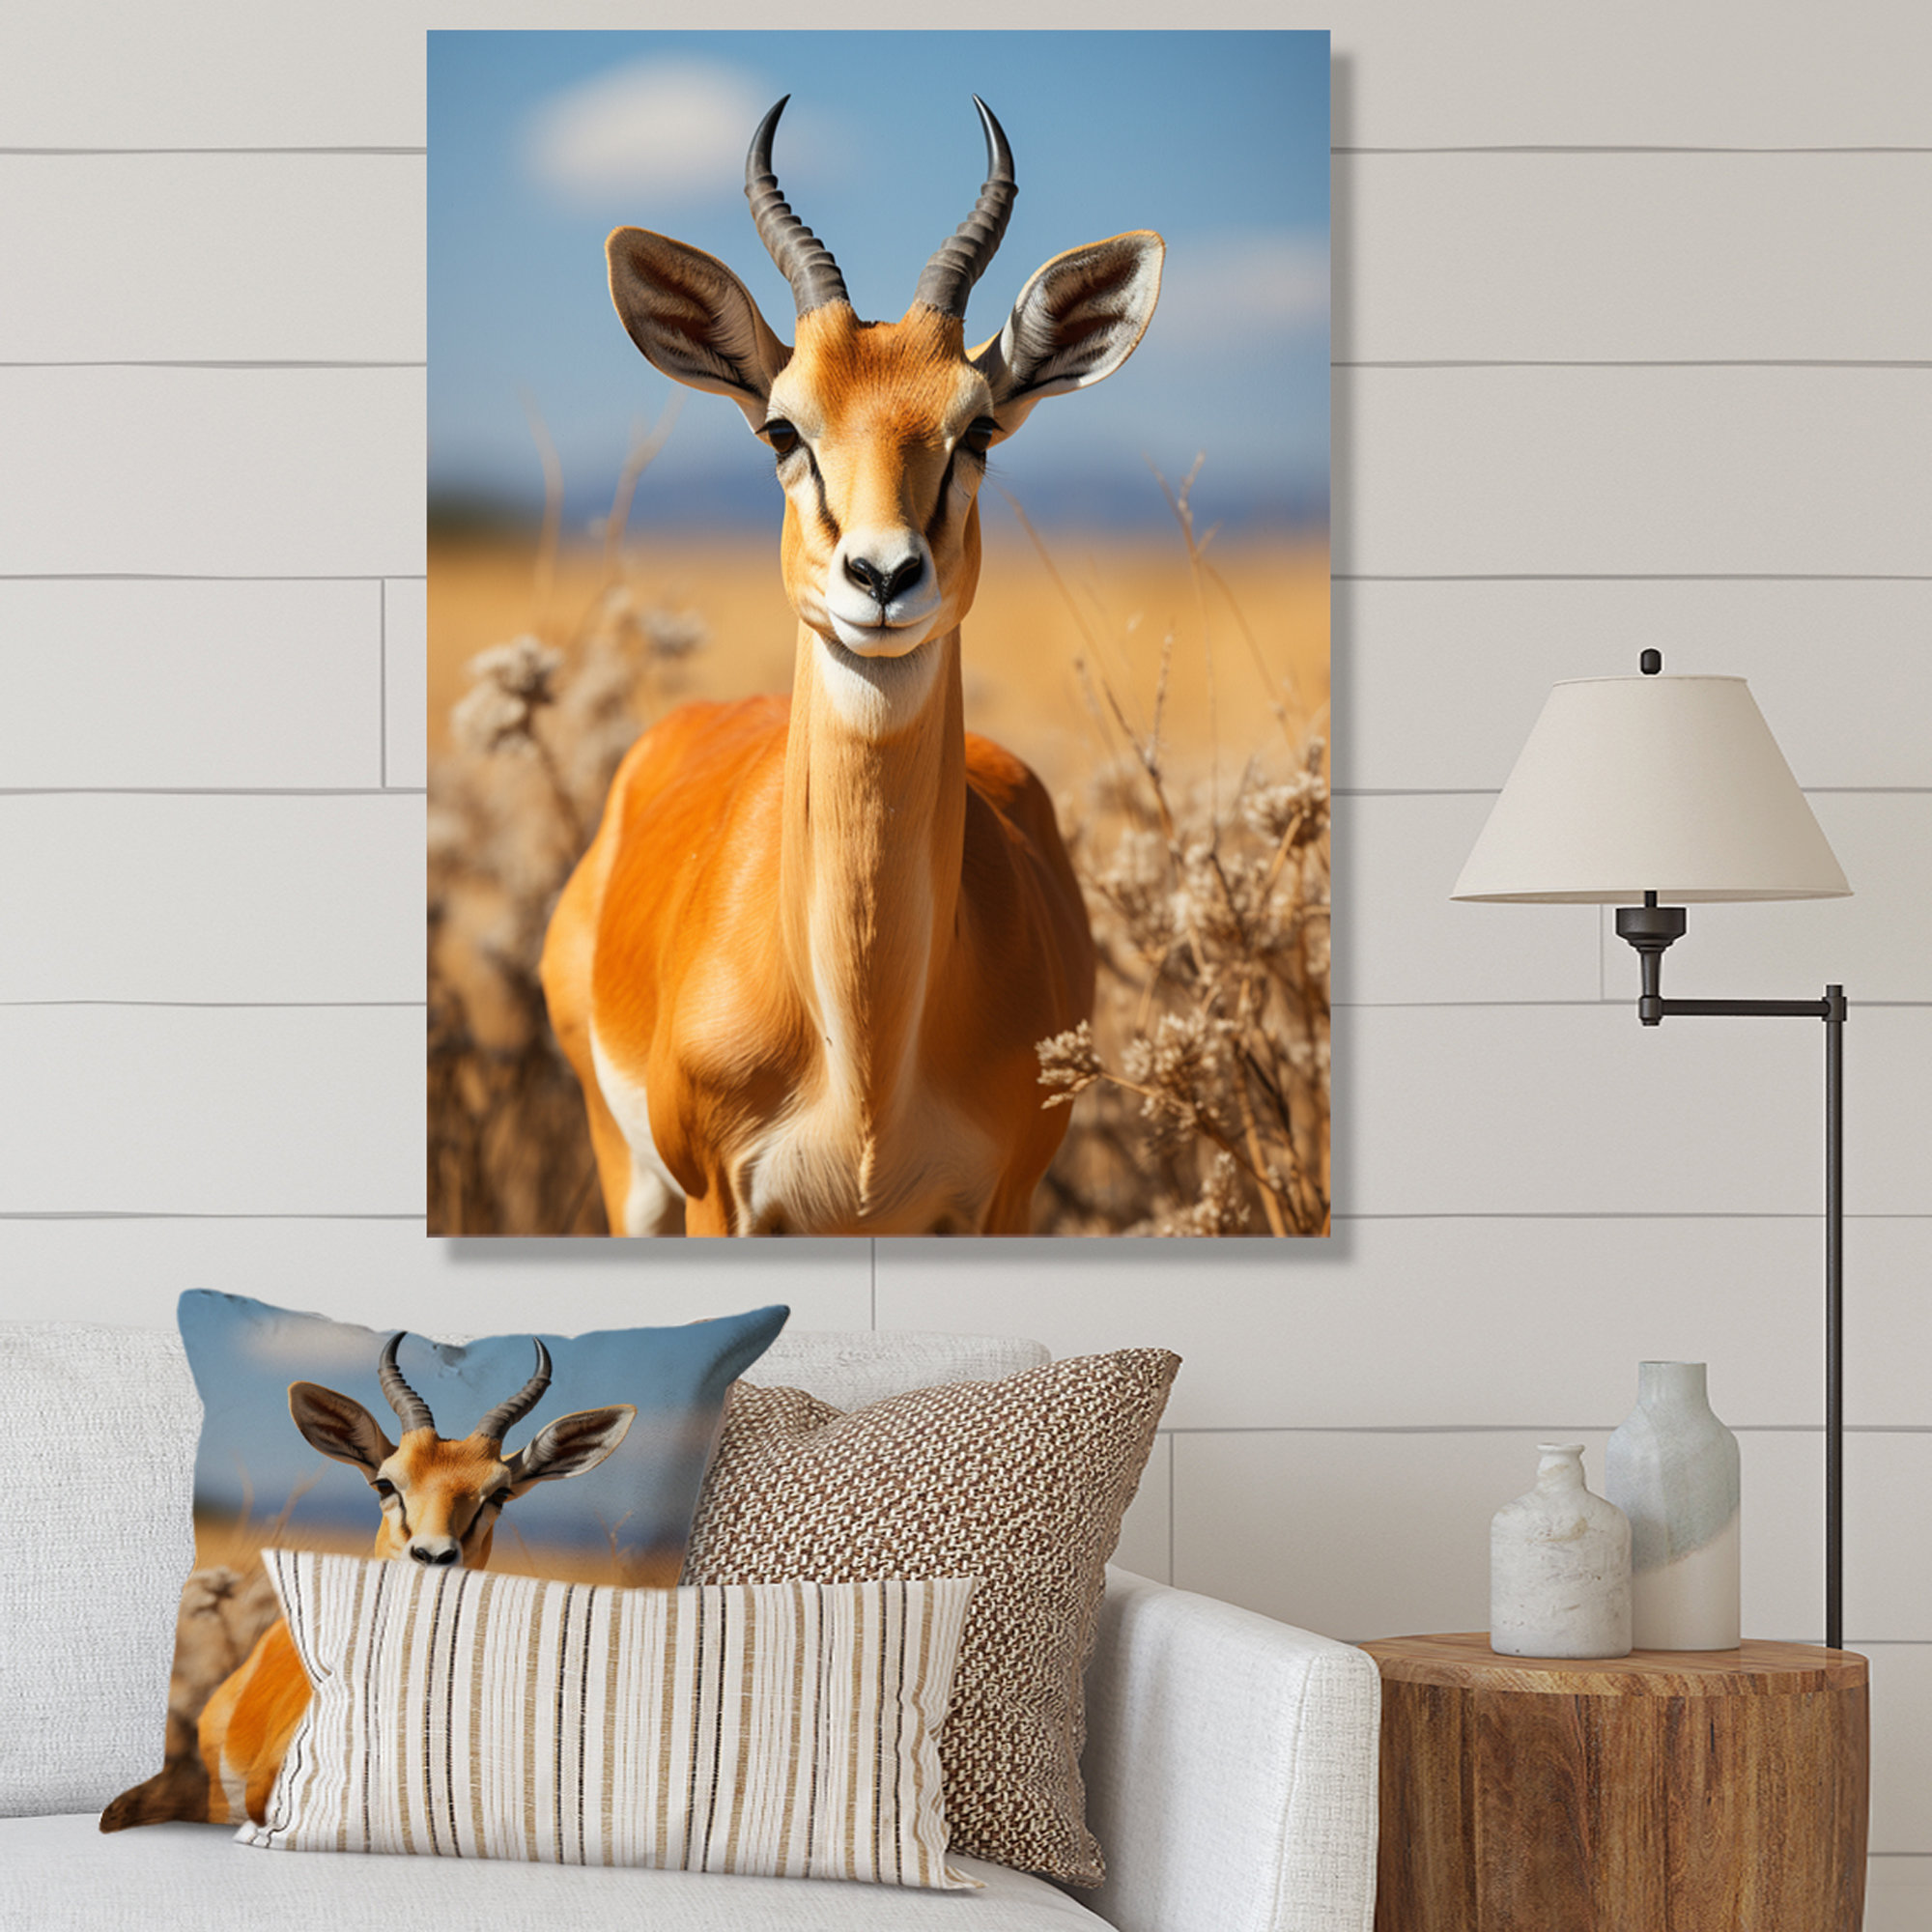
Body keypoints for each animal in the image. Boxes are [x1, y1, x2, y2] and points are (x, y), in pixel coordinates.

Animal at [541, 97, 1163, 1236]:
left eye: (977, 427)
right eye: (783, 425)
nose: (881, 575)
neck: (866, 1057)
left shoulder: (1002, 1207)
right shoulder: (715, 1203)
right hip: (629, 1175)